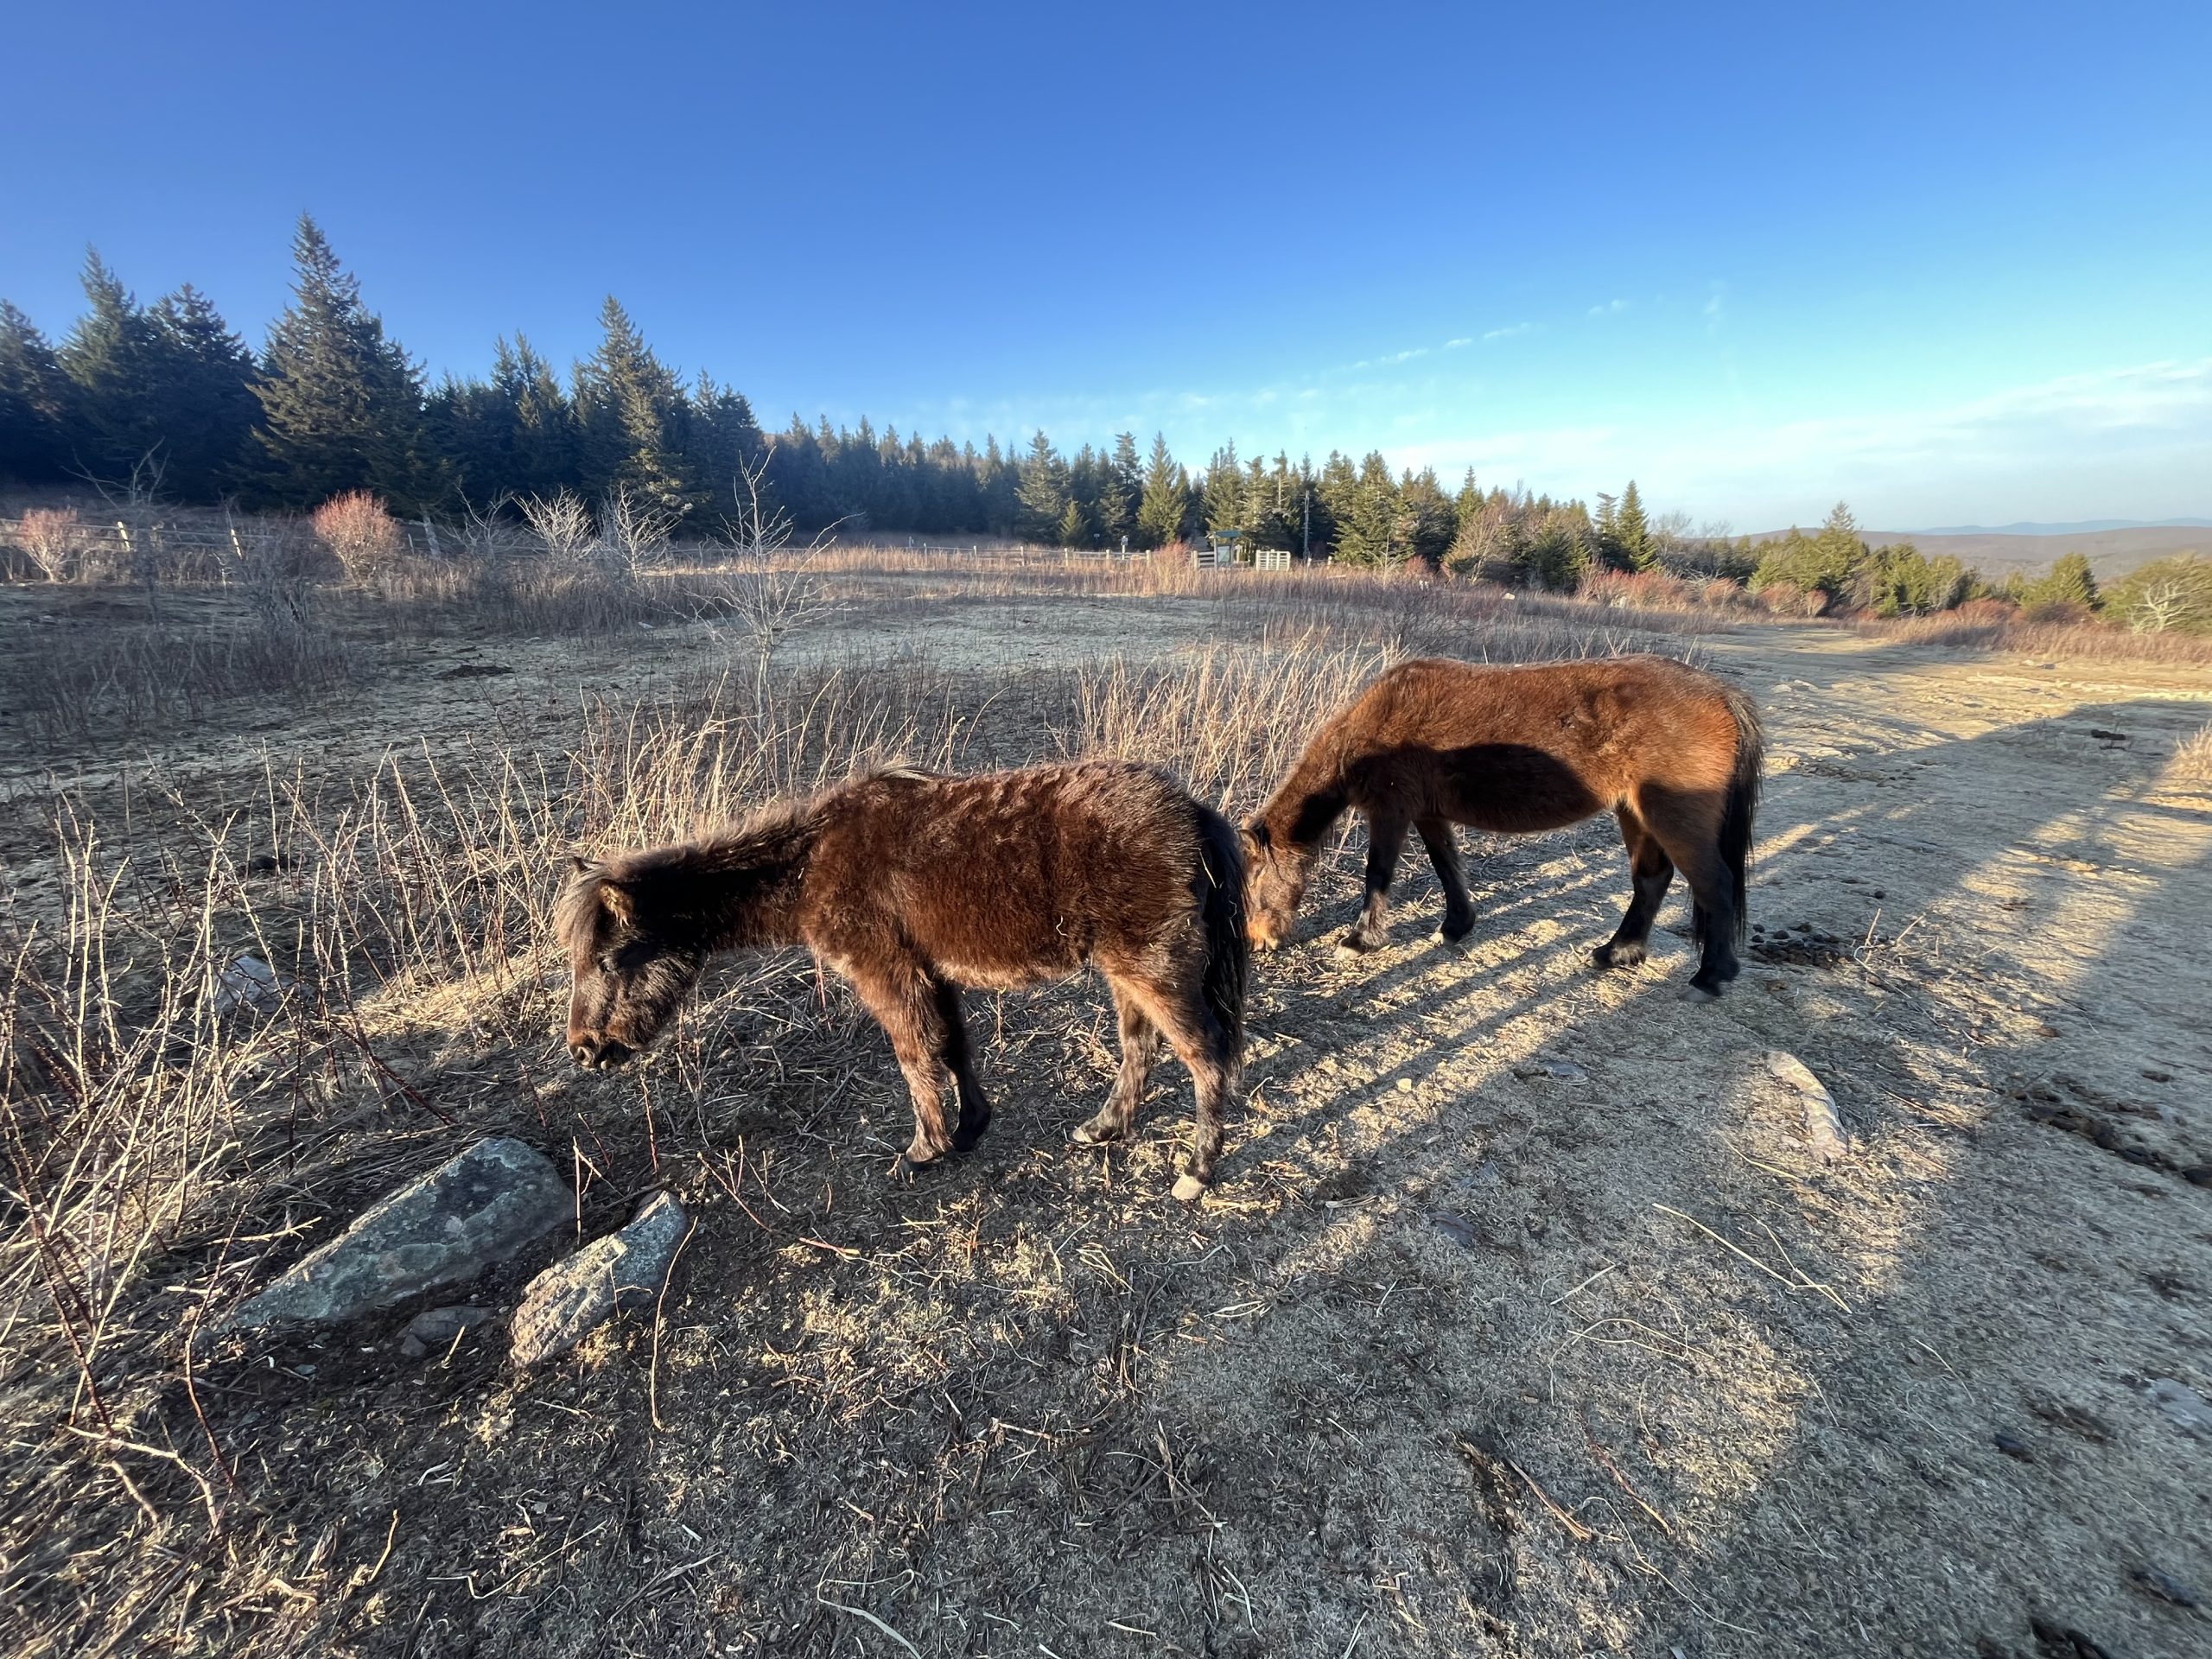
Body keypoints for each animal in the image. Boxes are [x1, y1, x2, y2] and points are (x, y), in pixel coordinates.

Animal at [556, 760, 1247, 1199]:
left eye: (607, 960)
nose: (583, 1050)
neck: (812, 865)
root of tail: (1193, 813)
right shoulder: (929, 969)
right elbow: (953, 1046)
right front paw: (968, 1129)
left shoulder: (884, 973)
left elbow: (915, 1055)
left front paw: (923, 1149)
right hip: (1125, 971)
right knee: (1140, 1048)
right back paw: (1104, 1130)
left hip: (1154, 967)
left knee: (1205, 1055)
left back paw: (1197, 1172)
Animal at [1242, 655, 1763, 998]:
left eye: (1254, 879)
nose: (1257, 940)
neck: (1376, 725)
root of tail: (1721, 694)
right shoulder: (1428, 813)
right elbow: (1447, 867)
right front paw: (1456, 926)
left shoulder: (1390, 811)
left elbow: (1378, 875)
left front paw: (1359, 940)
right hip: (1634, 814)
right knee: (1651, 881)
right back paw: (1618, 952)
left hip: (1672, 817)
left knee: (1714, 885)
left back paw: (1710, 977)